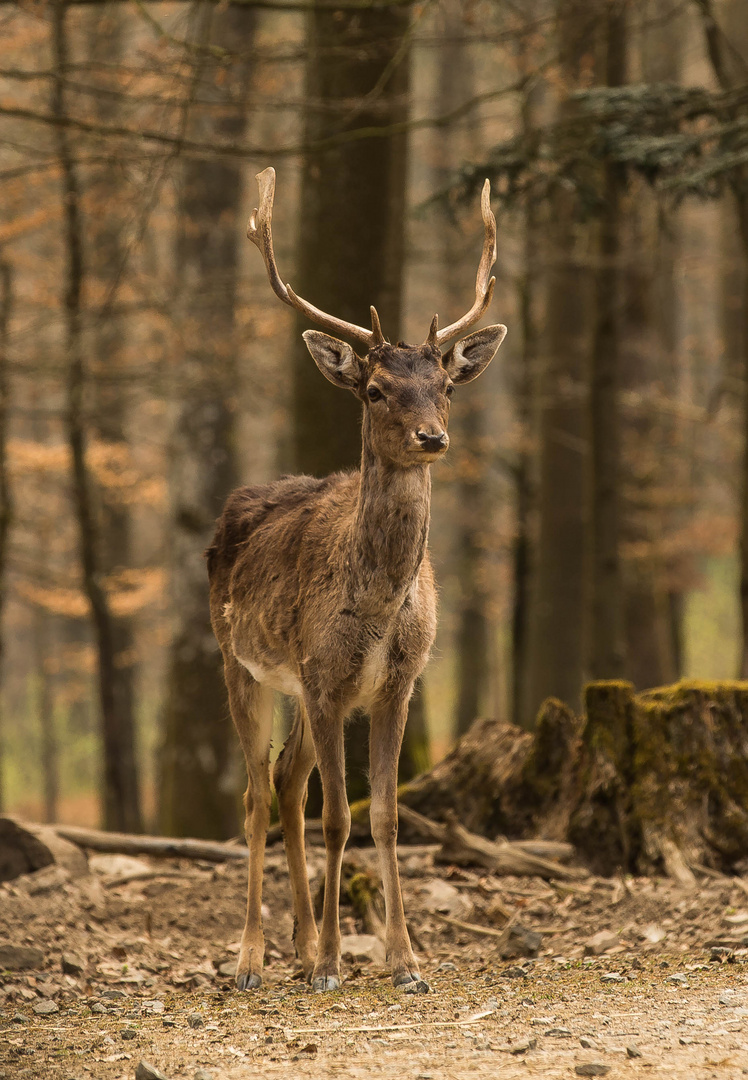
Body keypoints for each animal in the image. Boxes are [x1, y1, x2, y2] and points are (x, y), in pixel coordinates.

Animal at [207, 167, 507, 993]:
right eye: (375, 390)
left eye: (446, 385)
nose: (433, 437)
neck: (374, 607)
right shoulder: (322, 677)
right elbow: (338, 817)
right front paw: (338, 963)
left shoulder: (396, 683)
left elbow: (383, 817)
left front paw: (404, 961)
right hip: (239, 663)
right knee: (255, 796)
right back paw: (253, 959)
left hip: (300, 693)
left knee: (285, 784)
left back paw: (302, 945)